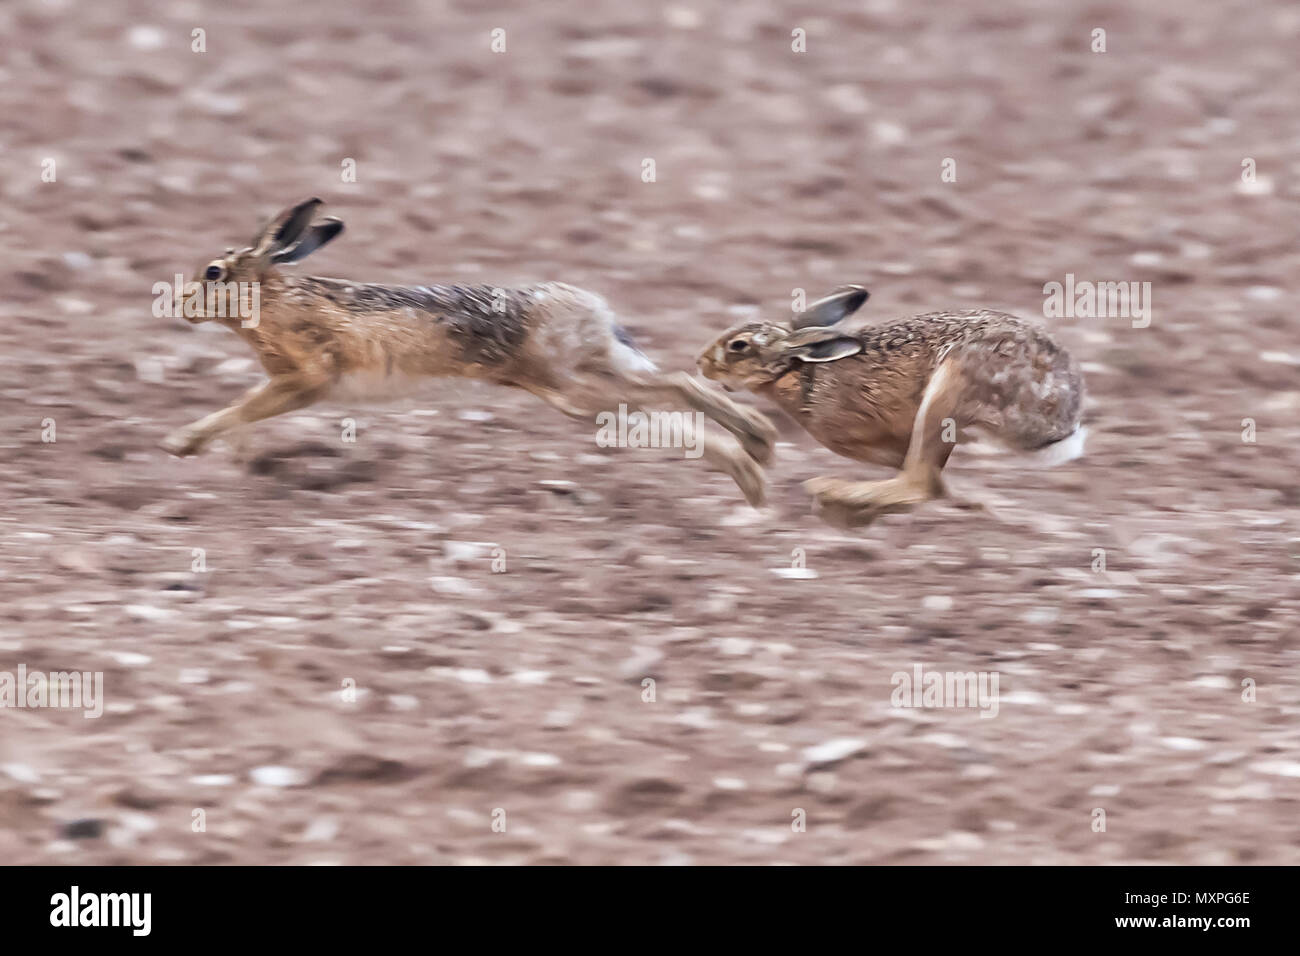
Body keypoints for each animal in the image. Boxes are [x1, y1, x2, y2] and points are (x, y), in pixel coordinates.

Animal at [162, 198, 777, 505]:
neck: (268, 301)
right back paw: (756, 462)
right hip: (587, 379)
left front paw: (181, 445)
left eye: (213, 273)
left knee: (661, 394)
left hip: (568, 384)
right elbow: (246, 410)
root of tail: (592, 308)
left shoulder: (308, 377)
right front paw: (239, 461)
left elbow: (245, 406)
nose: (183, 305)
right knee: (671, 398)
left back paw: (754, 459)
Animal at [696, 285, 1086, 527]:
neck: (803, 372)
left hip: (949, 391)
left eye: (739, 346)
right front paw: (972, 501)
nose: (701, 363)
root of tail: (1061, 420)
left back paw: (831, 493)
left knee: (919, 483)